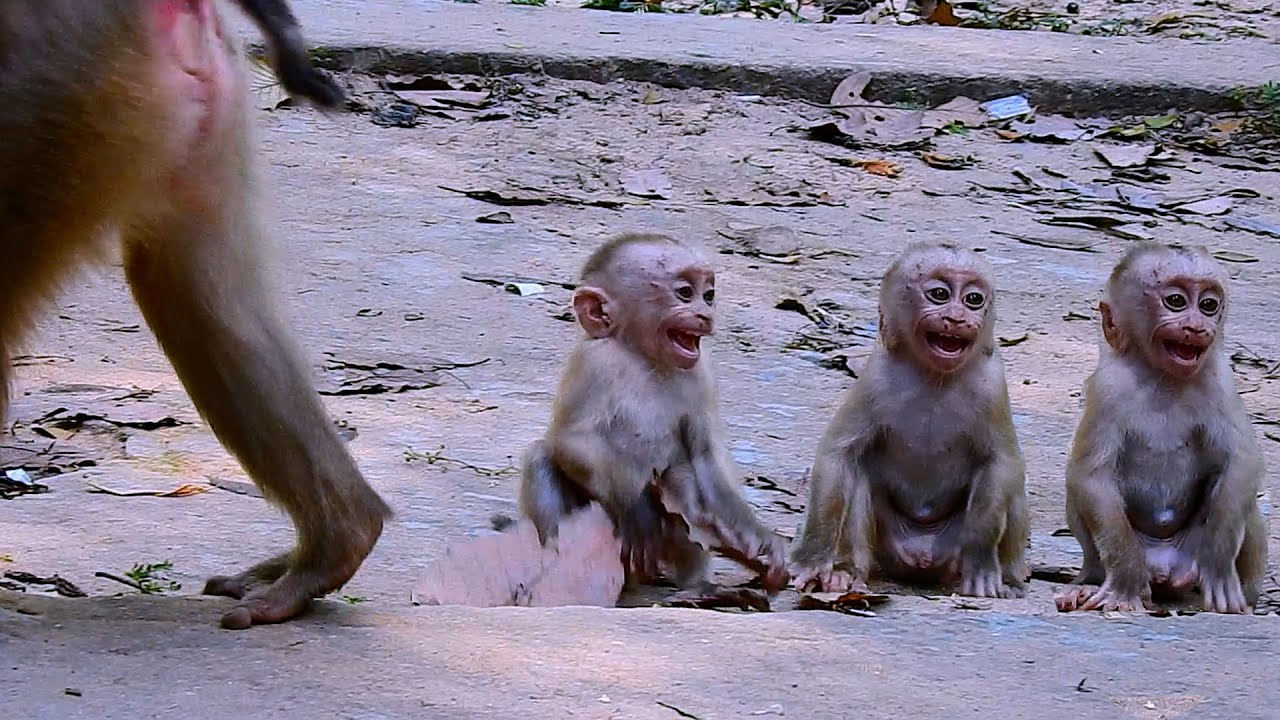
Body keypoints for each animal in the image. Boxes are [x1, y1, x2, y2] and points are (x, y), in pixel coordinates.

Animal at [518, 233, 789, 592]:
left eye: (708, 296)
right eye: (685, 293)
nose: (705, 314)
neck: (645, 358)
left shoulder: (701, 374)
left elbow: (704, 456)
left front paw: (756, 539)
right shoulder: (596, 361)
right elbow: (571, 441)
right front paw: (640, 510)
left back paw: (695, 583)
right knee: (541, 457)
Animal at [789, 242, 1030, 599]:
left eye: (973, 299)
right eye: (940, 294)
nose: (957, 318)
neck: (934, 376)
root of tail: (924, 556)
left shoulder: (993, 387)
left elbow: (1000, 463)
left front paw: (982, 565)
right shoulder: (874, 377)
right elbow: (838, 456)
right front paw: (814, 559)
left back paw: (1011, 578)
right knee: (857, 472)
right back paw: (848, 574)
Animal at [1055, 243, 1267, 615]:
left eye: (1208, 305)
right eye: (1177, 301)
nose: (1197, 326)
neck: (1163, 378)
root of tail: (1166, 565)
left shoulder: (1220, 381)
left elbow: (1242, 462)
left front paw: (1218, 568)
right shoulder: (1108, 387)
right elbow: (1091, 476)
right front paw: (1125, 584)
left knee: (1242, 500)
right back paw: (1087, 583)